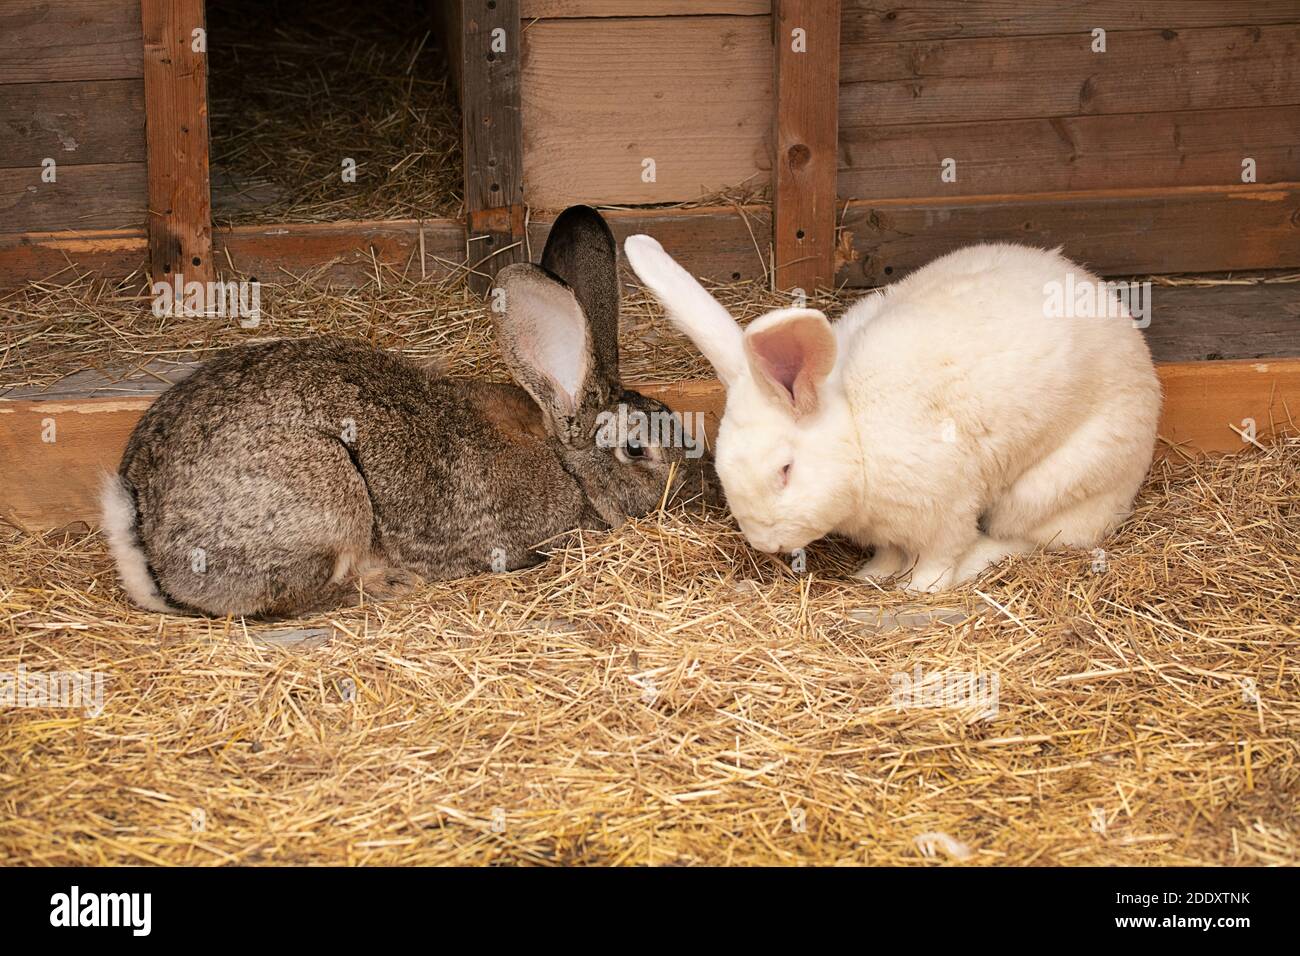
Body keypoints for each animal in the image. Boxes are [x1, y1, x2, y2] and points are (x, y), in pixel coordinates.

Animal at [102, 205, 716, 618]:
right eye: (636, 447)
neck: (566, 460)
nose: (700, 489)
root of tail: (146, 532)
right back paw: (388, 586)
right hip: (328, 500)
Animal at [623, 238, 1161, 593]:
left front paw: (916, 589)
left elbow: (938, 557)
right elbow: (890, 551)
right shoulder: (888, 529)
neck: (857, 433)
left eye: (786, 470)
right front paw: (875, 575)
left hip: (1049, 488)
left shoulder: (945, 510)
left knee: (1036, 539)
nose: (765, 544)